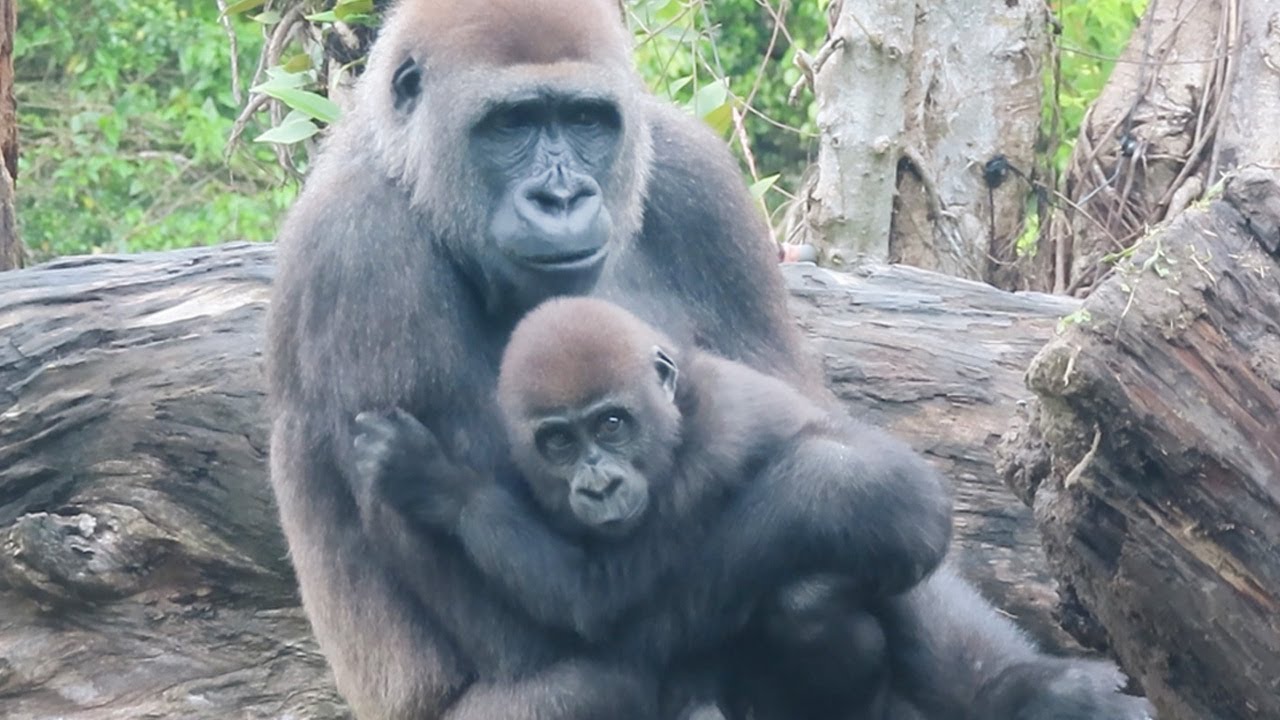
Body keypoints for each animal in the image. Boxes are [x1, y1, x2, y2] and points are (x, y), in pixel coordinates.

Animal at [350, 296, 952, 718]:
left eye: (612, 424)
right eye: (559, 442)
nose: (598, 486)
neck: (677, 411)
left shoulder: (702, 466)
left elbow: (596, 602)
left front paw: (440, 484)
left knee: (806, 591)